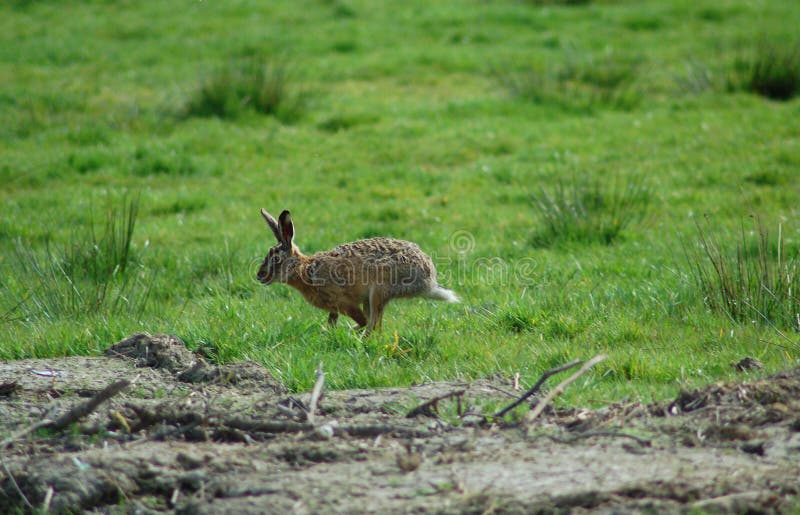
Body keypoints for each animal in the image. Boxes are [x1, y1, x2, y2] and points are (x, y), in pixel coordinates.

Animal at [257, 209, 459, 334]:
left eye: (276, 258)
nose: (259, 275)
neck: (304, 269)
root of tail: (429, 280)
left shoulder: (346, 302)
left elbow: (361, 321)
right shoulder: (334, 308)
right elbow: (333, 321)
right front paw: (328, 332)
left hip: (378, 290)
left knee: (373, 325)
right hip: (373, 298)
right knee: (376, 324)